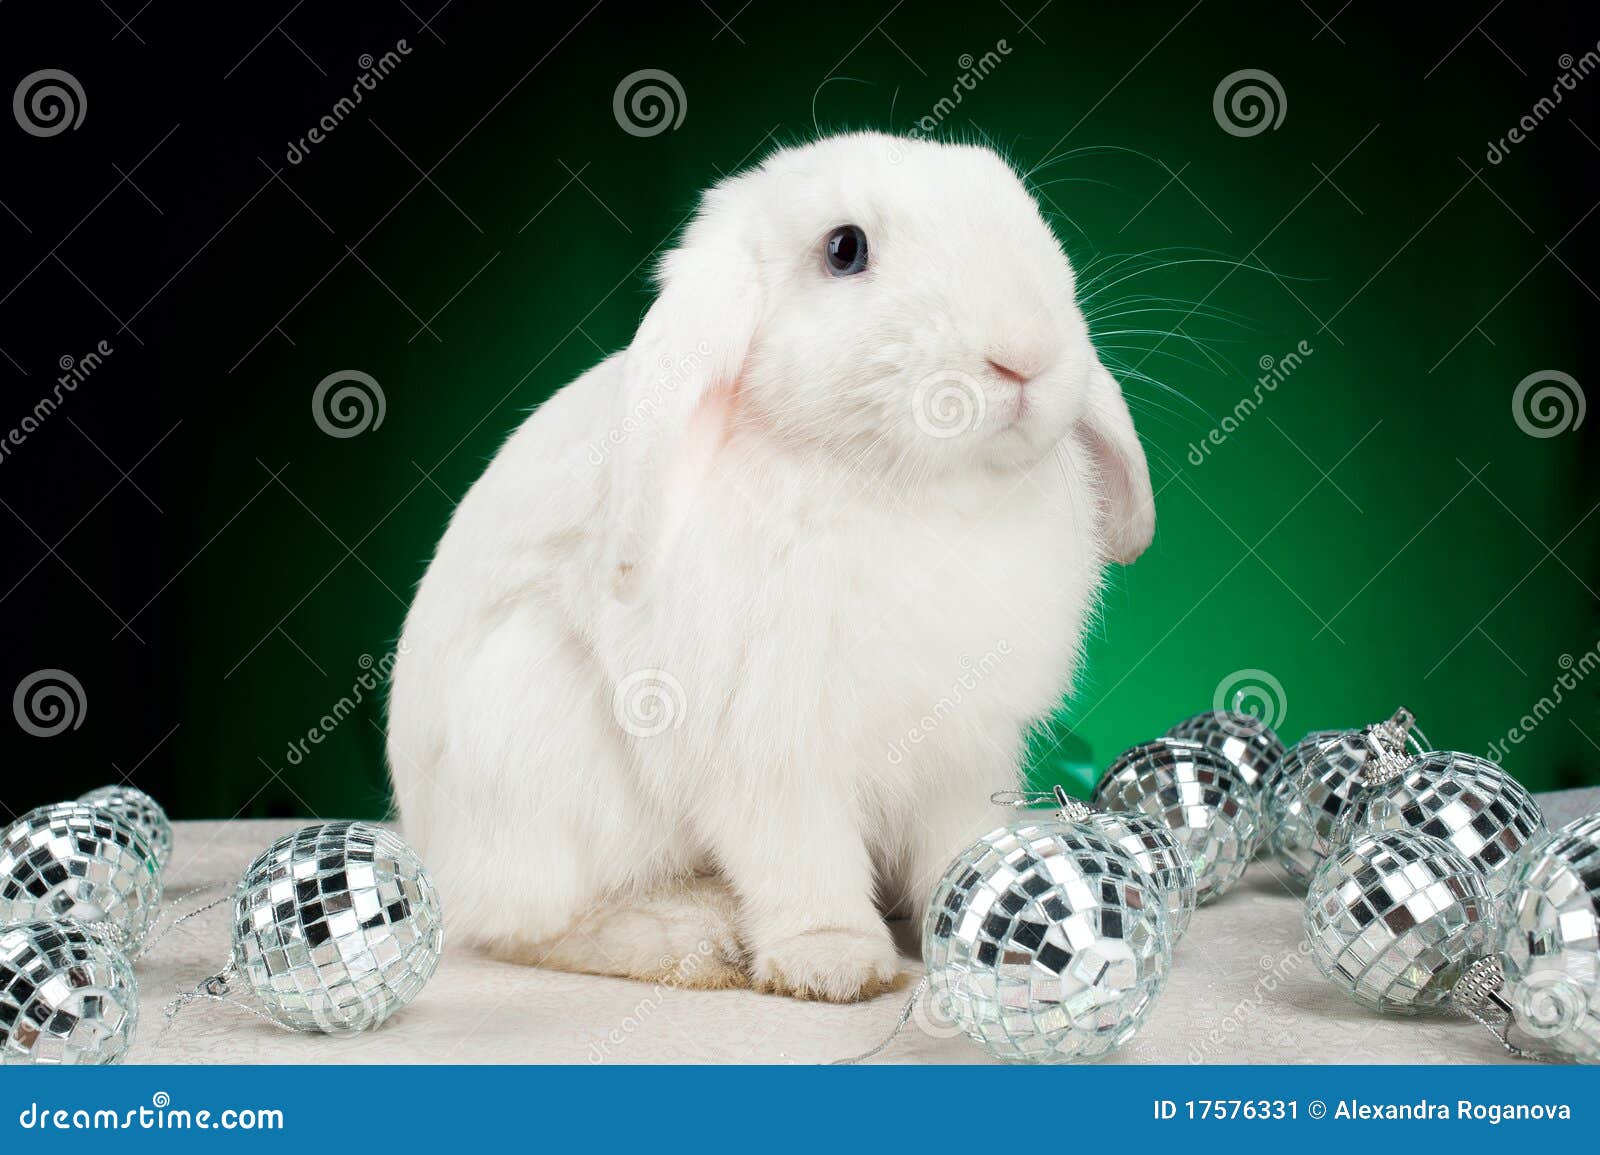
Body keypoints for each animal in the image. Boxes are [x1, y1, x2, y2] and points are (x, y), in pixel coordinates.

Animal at [386, 131, 1154, 1002]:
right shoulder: (767, 754)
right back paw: (693, 938)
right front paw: (837, 963)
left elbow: (954, 844)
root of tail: (432, 841)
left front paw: (995, 914)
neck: (902, 486)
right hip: (530, 719)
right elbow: (802, 864)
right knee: (530, 925)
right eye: (845, 249)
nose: (1025, 355)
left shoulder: (964, 755)